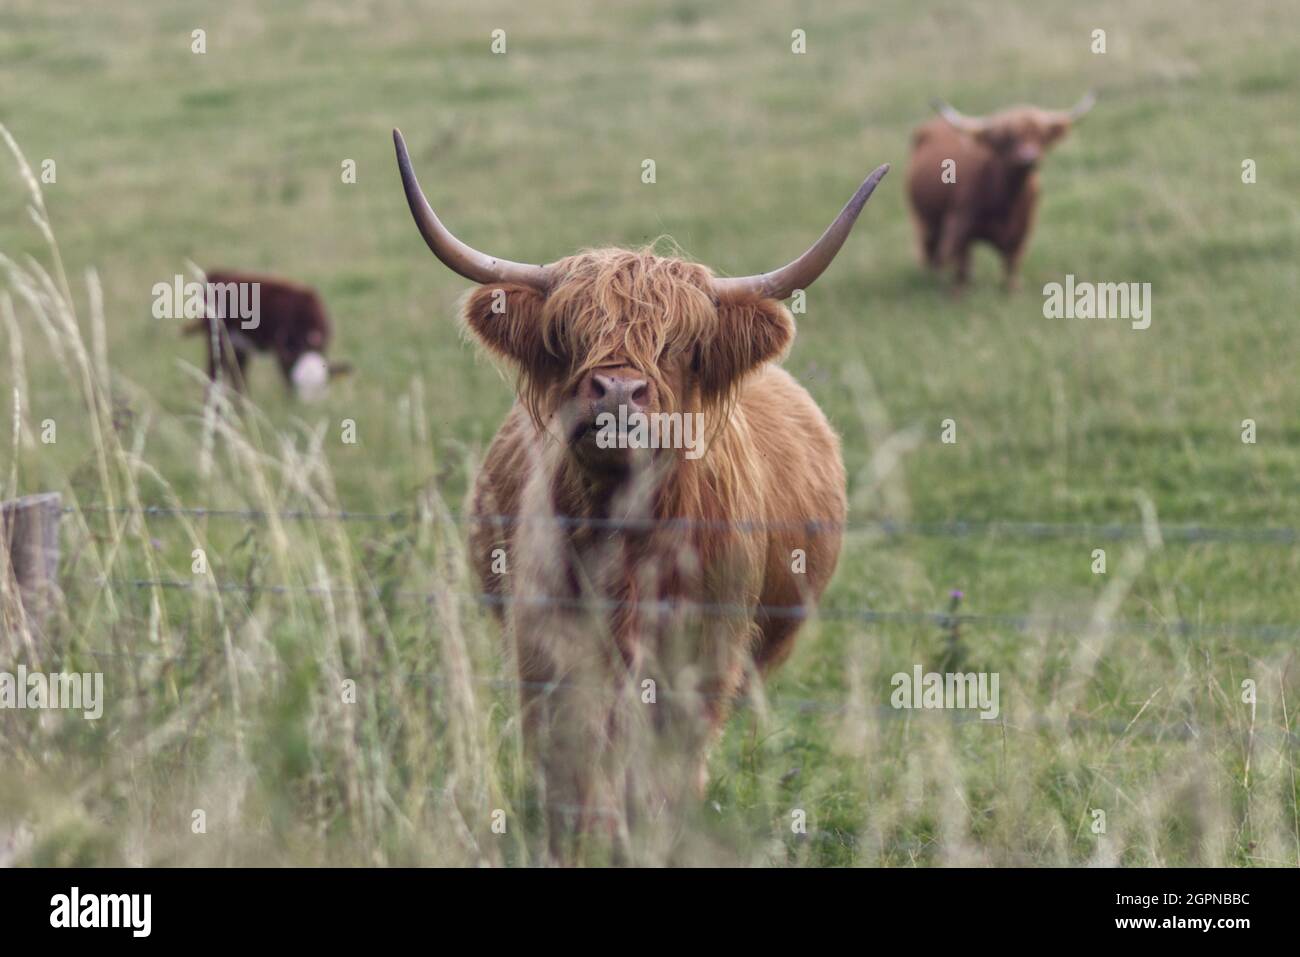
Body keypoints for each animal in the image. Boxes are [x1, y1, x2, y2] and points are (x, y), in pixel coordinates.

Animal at [183, 270, 351, 399]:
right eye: (297, 385)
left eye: (321, 387)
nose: (307, 412)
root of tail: (216, 273)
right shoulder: (282, 352)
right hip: (217, 341)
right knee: (214, 376)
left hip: (238, 345)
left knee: (238, 377)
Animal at [394, 129, 887, 857]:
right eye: (569, 336)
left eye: (677, 346)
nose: (619, 391)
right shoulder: (548, 647)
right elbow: (574, 767)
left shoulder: (698, 658)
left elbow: (657, 777)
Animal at [906, 93, 1095, 291]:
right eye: (1008, 139)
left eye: (1040, 135)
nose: (1029, 158)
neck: (1005, 200)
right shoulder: (959, 227)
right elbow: (962, 270)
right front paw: (958, 291)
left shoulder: (1021, 234)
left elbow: (1011, 269)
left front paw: (1012, 290)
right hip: (923, 218)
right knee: (930, 249)